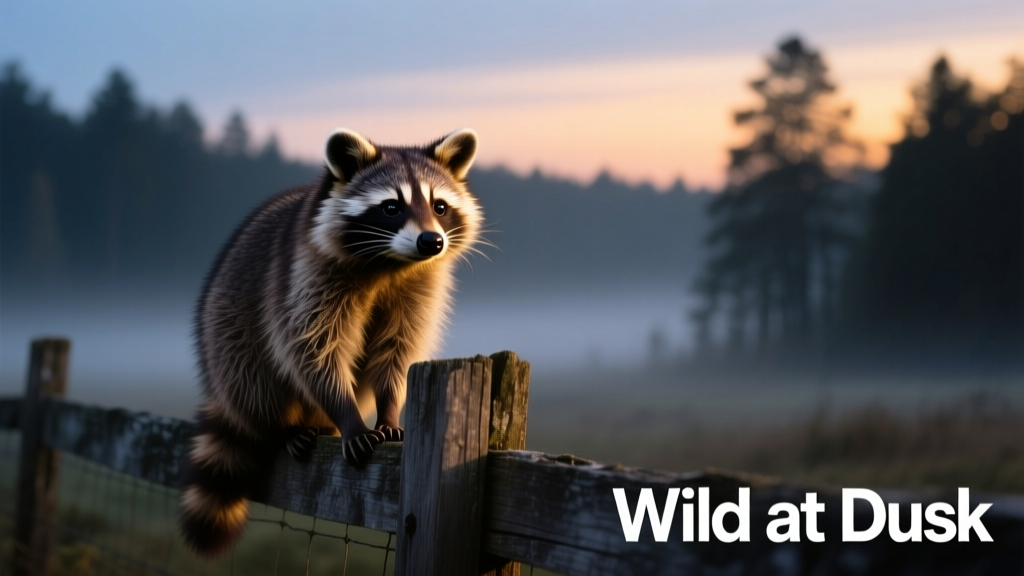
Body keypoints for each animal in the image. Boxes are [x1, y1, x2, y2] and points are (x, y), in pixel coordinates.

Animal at [178, 128, 482, 557]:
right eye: (391, 207)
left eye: (439, 206)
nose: (431, 242)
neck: (390, 265)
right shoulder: (306, 278)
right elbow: (314, 349)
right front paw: (348, 414)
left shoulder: (419, 288)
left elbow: (397, 351)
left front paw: (389, 409)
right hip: (224, 330)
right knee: (249, 374)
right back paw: (281, 426)